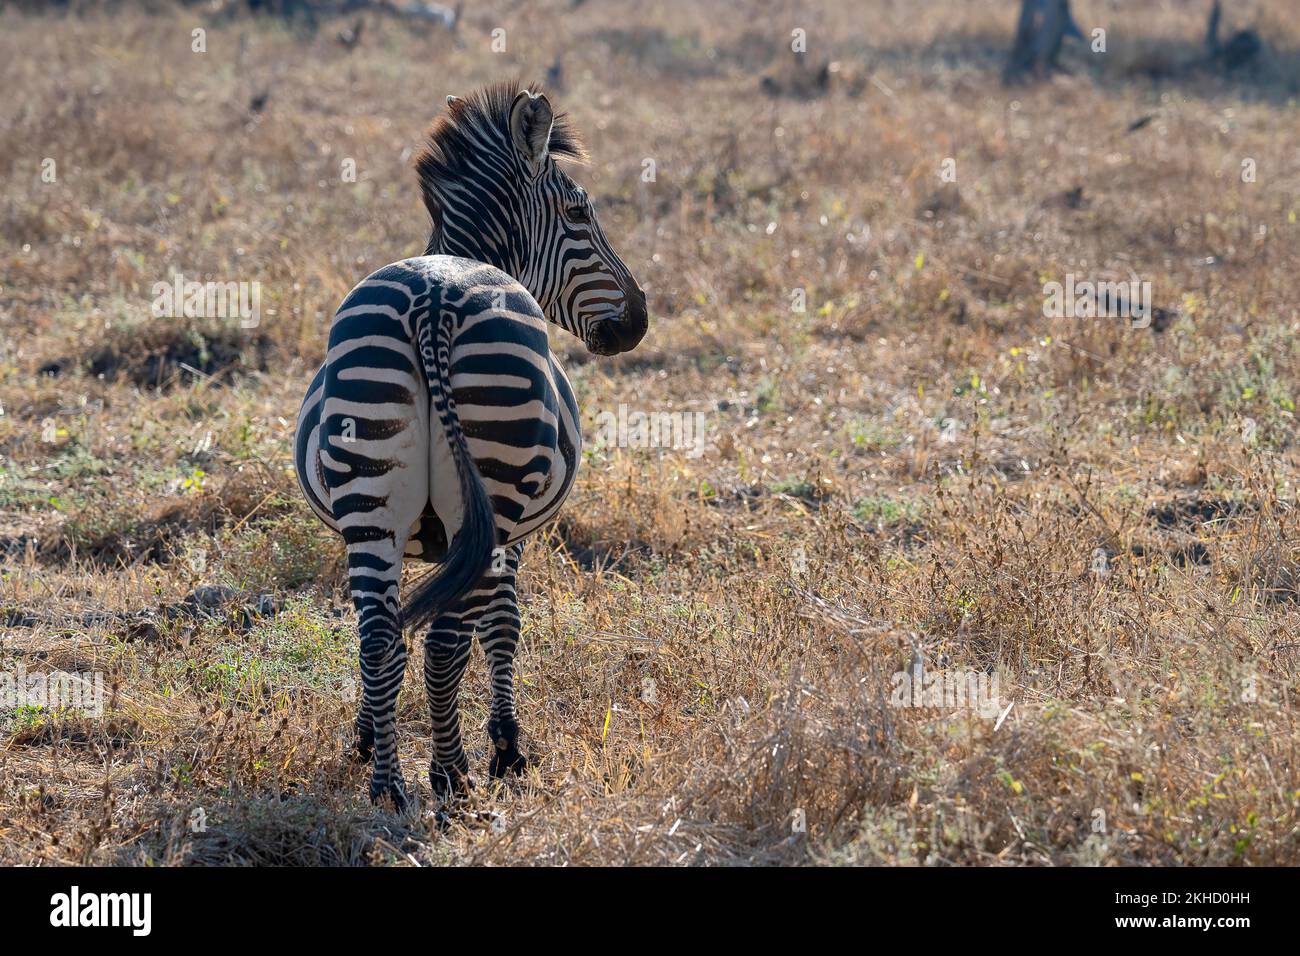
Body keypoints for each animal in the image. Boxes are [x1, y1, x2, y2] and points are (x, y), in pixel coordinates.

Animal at [293, 82, 647, 811]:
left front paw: (365, 735)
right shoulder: (516, 535)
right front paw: (508, 747)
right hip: (494, 492)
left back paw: (389, 787)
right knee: (446, 639)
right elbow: (504, 622)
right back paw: (450, 780)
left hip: (370, 493)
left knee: (381, 637)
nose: (639, 320)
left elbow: (387, 633)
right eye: (580, 213)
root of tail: (437, 295)